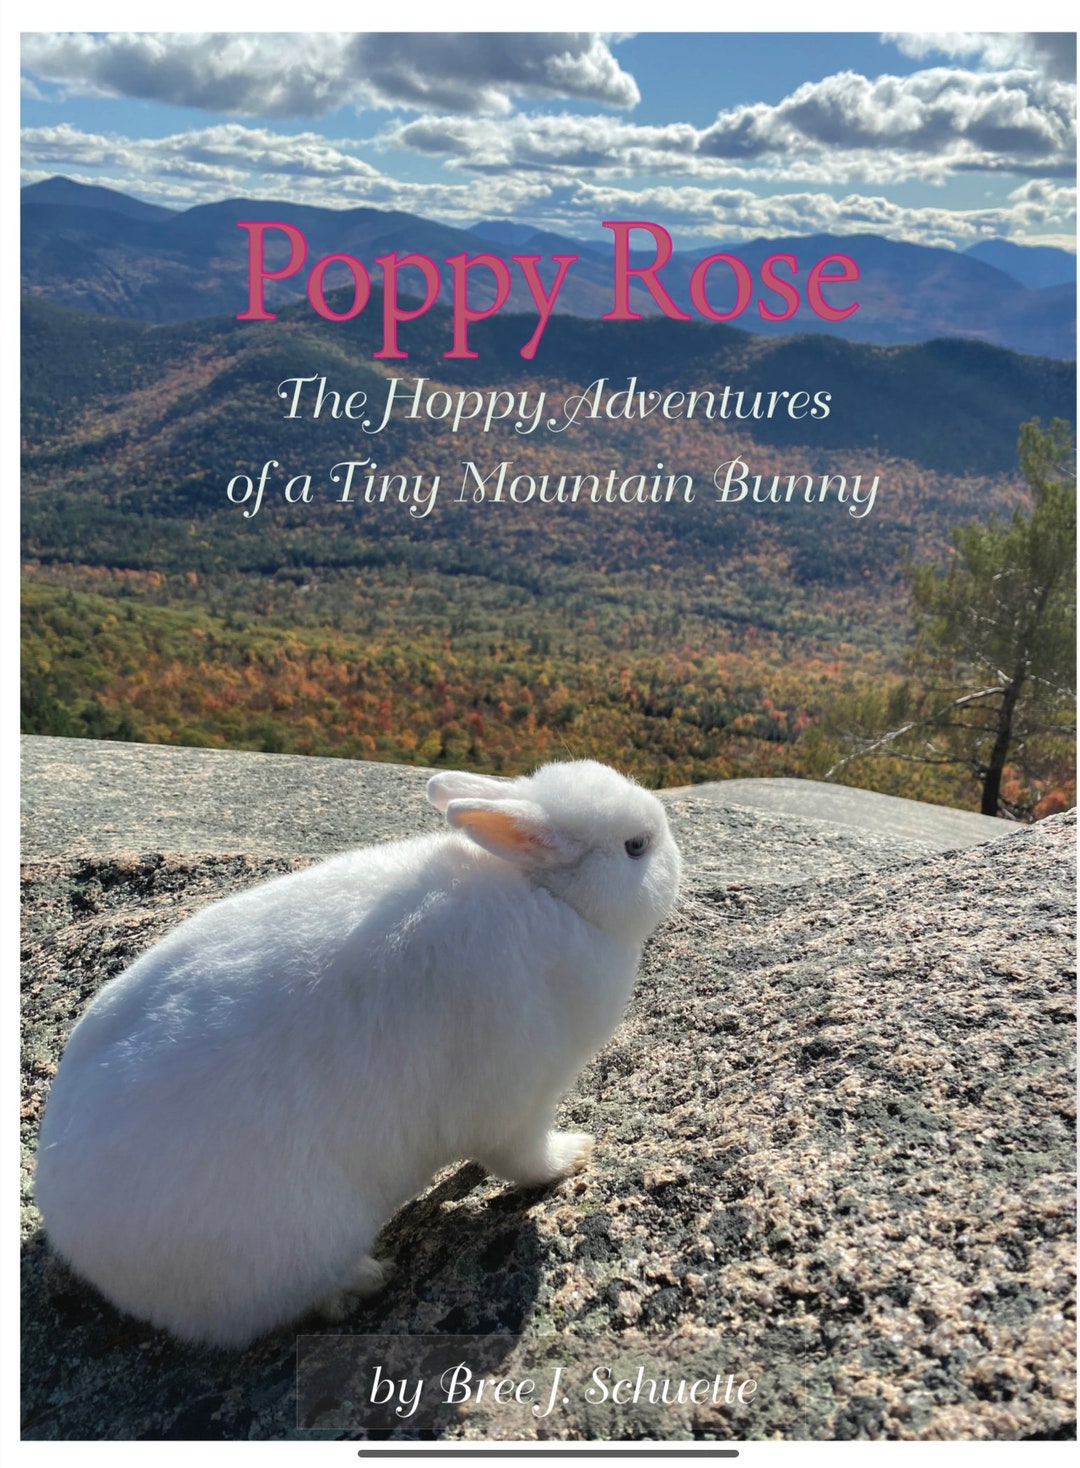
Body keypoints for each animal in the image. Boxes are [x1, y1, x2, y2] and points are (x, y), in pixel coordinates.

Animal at [33, 758, 681, 1349]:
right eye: (636, 846)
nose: (676, 853)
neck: (551, 897)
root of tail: (77, 1238)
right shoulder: (517, 1104)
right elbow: (523, 1160)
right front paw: (574, 1156)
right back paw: (364, 1282)